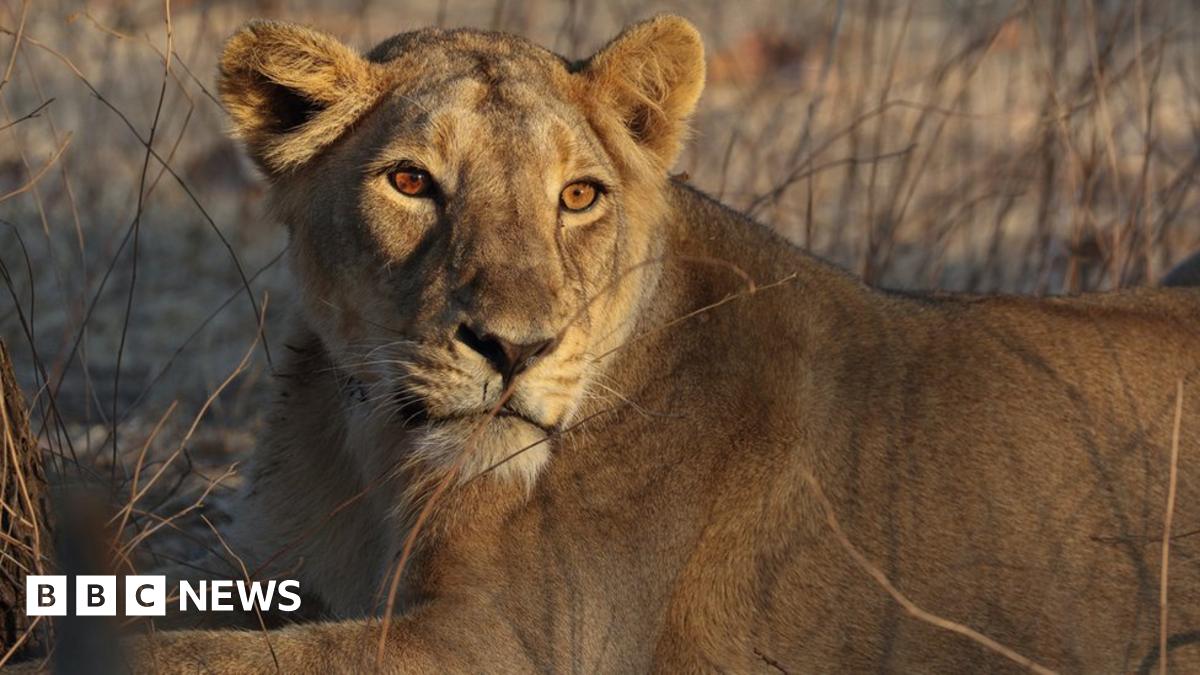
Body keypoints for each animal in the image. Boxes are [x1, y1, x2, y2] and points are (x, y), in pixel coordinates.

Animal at [31, 14, 1200, 674]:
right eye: (411, 181)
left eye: (579, 196)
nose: (513, 347)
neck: (378, 459)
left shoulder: (510, 646)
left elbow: (185, 659)